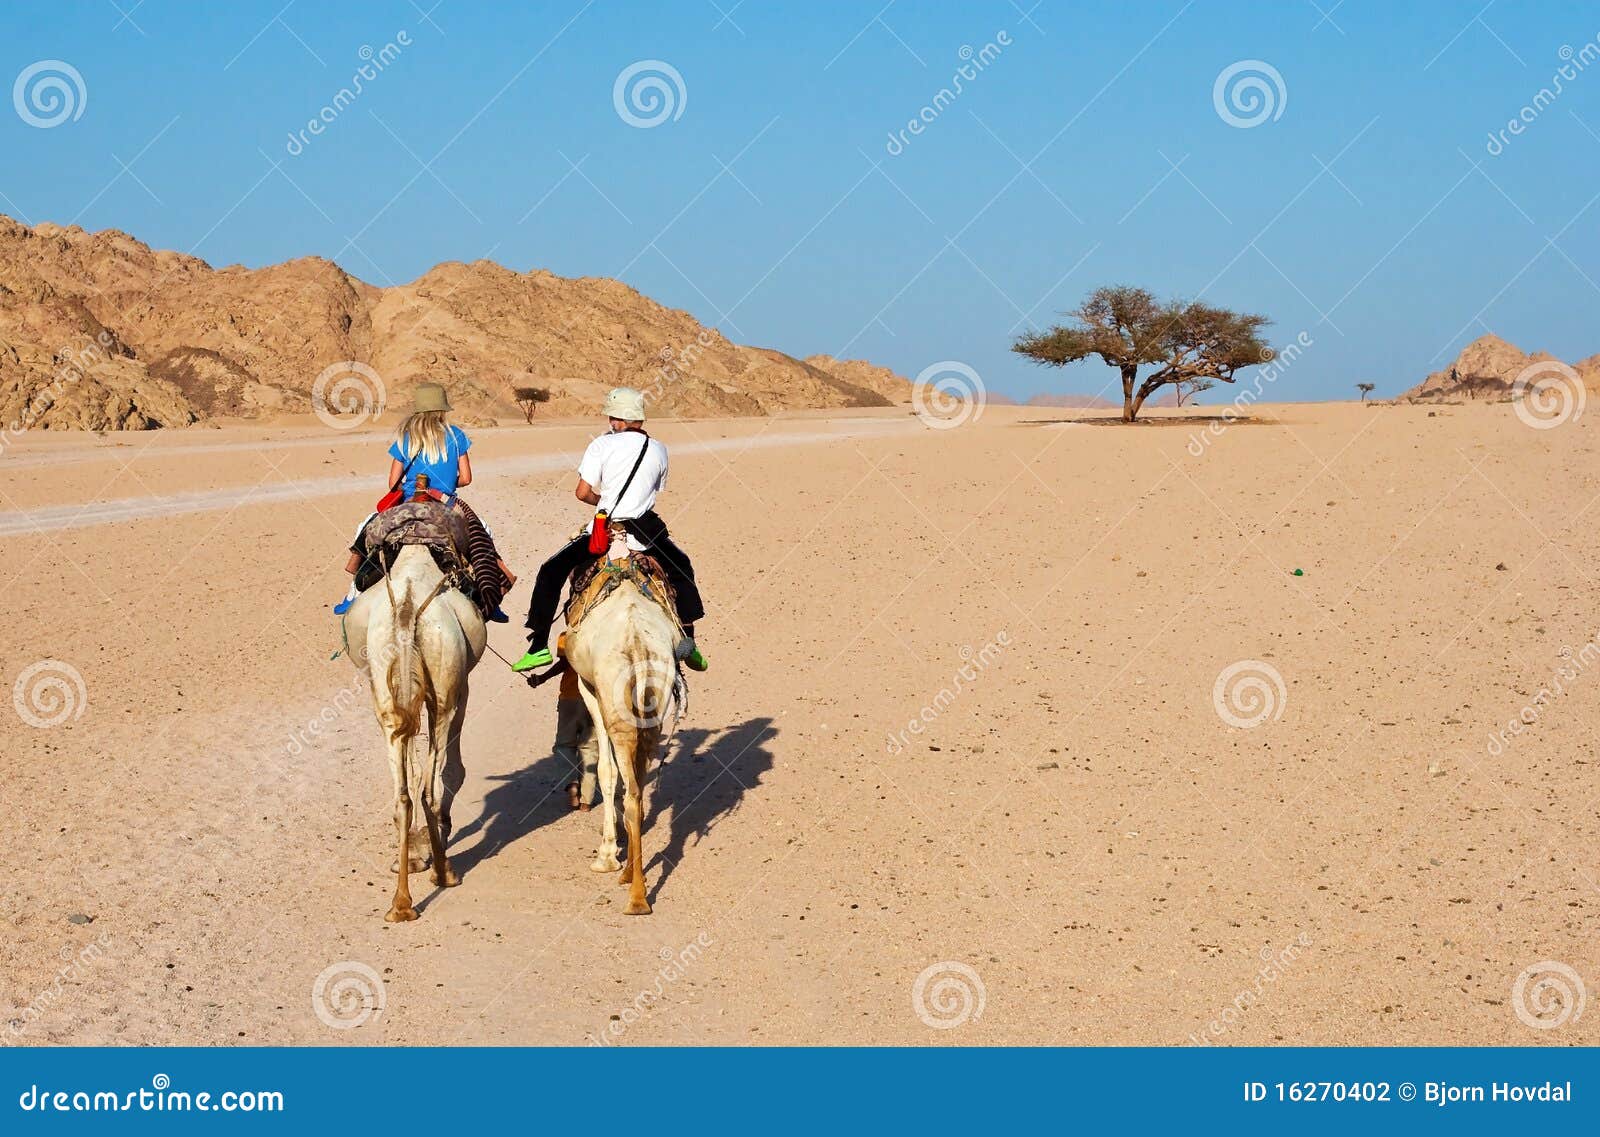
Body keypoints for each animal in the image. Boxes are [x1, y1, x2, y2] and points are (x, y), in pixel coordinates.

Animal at [345, 544, 486, 922]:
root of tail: (408, 610)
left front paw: (409, 855)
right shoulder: (461, 688)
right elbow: (453, 770)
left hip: (385, 690)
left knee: (403, 795)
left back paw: (401, 903)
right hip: (445, 686)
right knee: (431, 787)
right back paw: (443, 871)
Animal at [564, 523, 685, 916]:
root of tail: (635, 642)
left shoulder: (591, 689)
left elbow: (606, 770)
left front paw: (606, 854)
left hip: (616, 702)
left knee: (629, 789)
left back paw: (636, 895)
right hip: (653, 703)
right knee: (639, 786)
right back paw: (634, 878)